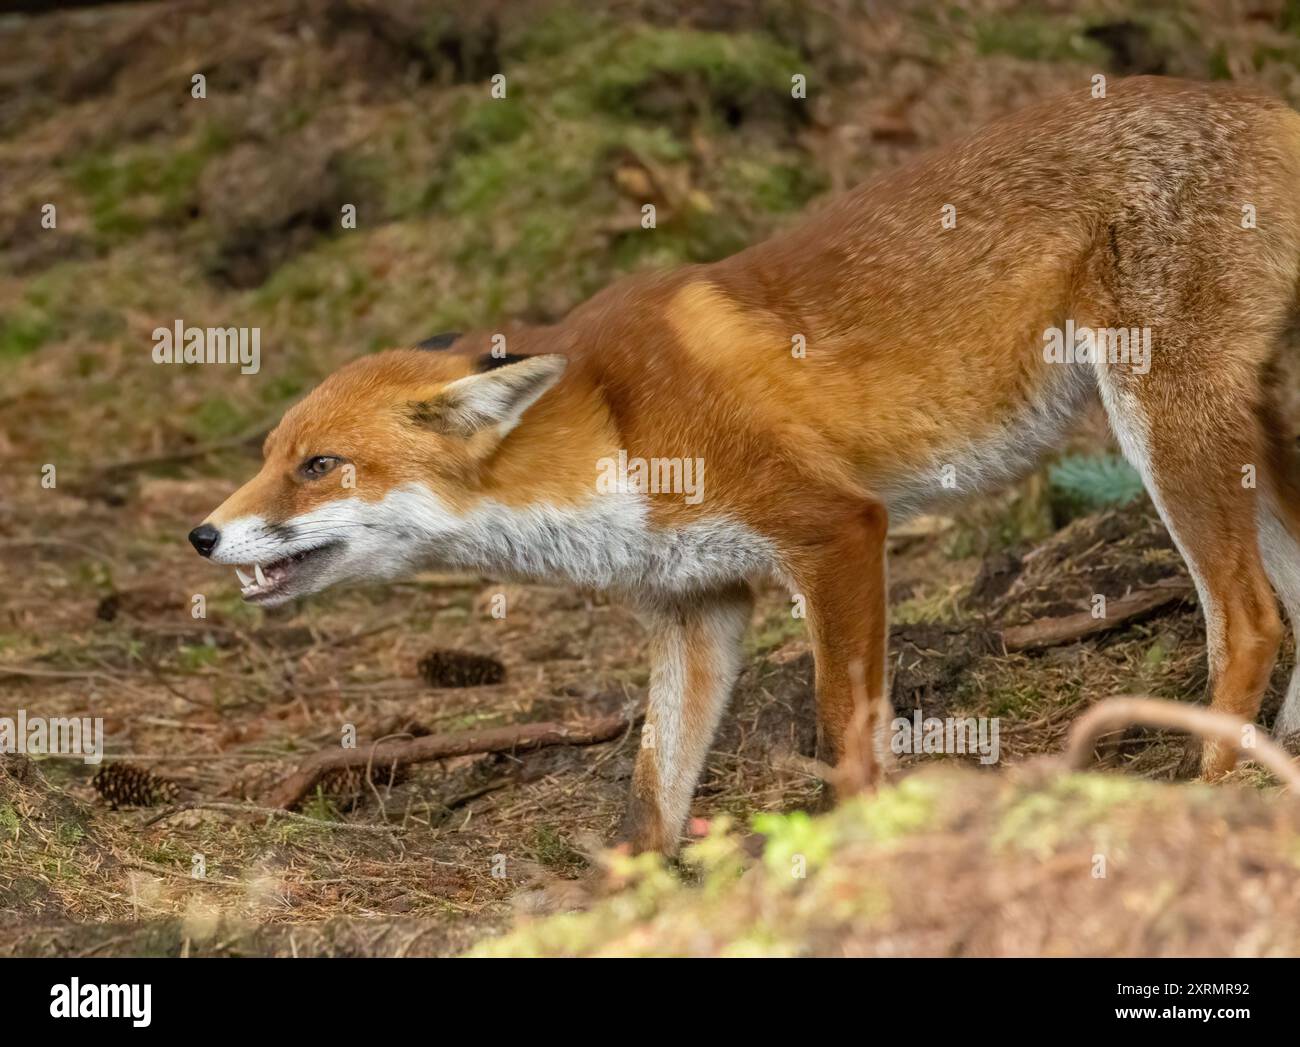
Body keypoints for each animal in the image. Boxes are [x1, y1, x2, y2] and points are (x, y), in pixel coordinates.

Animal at [190, 77, 1300, 855]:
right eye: (272, 456)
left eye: (320, 464)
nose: (201, 535)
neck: (617, 425)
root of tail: (1263, 100)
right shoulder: (696, 605)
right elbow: (650, 802)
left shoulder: (836, 529)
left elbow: (846, 738)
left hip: (1161, 423)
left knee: (1251, 621)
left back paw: (1210, 798)